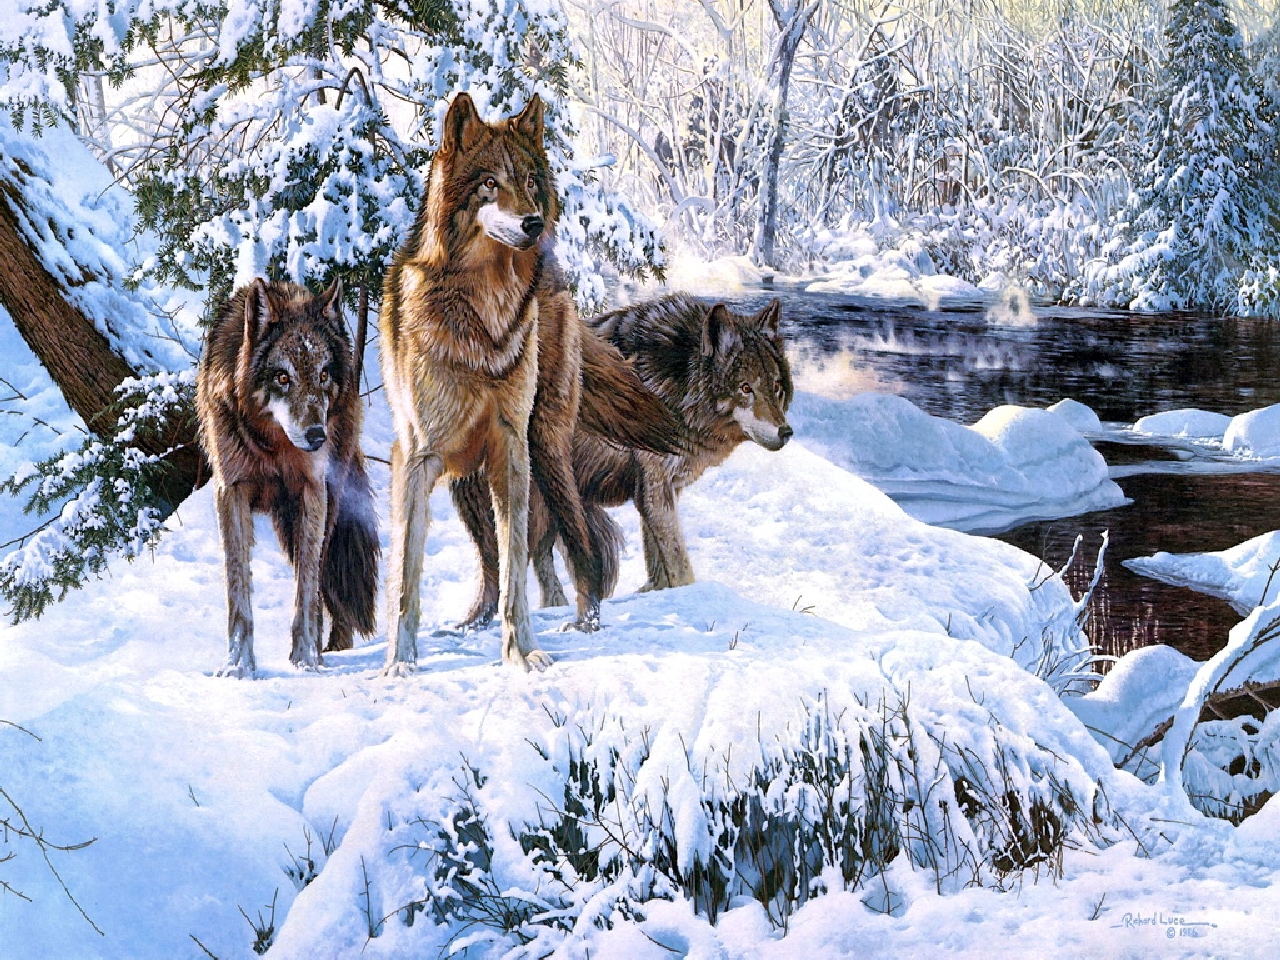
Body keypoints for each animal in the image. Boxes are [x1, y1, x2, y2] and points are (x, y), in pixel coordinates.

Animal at [196, 278, 379, 677]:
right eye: (283, 377)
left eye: (323, 375)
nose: (316, 436)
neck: (272, 447)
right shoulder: (231, 493)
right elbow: (238, 588)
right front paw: (238, 666)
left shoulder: (312, 492)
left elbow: (307, 588)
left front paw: (305, 659)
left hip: (324, 505)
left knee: (319, 575)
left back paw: (325, 651)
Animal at [380, 92, 681, 674]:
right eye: (488, 183)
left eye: (527, 180)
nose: (533, 224)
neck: (481, 318)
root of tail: (556, 277)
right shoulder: (418, 457)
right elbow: (407, 574)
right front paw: (400, 663)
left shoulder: (512, 451)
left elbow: (518, 565)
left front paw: (522, 654)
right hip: (467, 487)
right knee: (490, 564)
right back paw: (468, 624)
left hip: (545, 448)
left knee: (580, 546)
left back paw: (585, 623)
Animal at [456, 294, 792, 617]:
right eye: (745, 388)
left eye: (776, 386)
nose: (786, 432)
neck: (678, 382)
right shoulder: (655, 489)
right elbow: (680, 567)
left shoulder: (661, 491)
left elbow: (659, 567)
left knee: (540, 563)